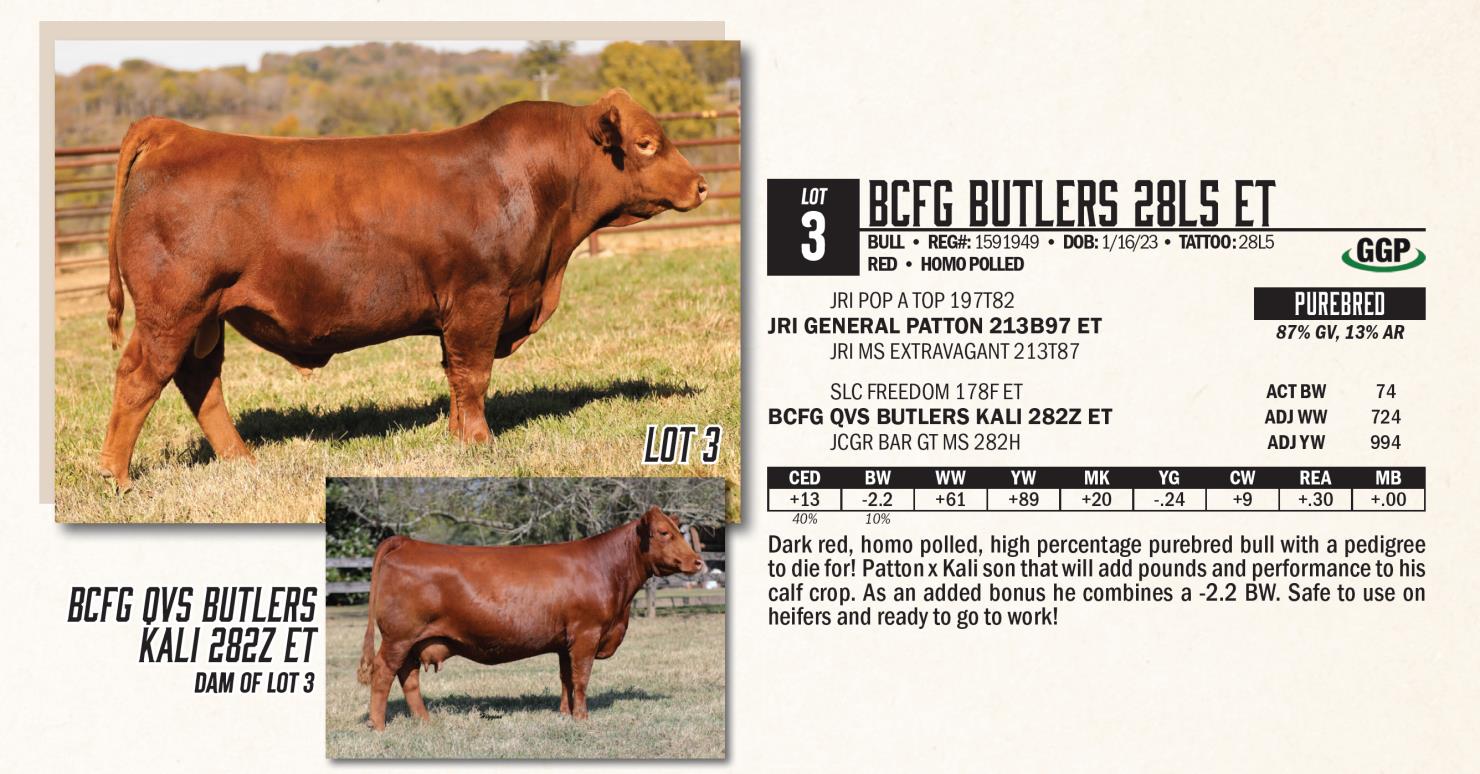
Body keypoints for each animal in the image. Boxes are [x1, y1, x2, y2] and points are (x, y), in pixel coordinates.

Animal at [98, 89, 709, 490]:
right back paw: (118, 478)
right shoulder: (481, 297)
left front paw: (458, 438)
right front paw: (481, 444)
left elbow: (456, 377)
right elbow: (474, 375)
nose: (701, 184)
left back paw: (240, 461)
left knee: (200, 382)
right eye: (647, 143)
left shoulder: (460, 312)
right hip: (173, 308)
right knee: (140, 378)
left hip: (204, 316)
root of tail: (175, 131)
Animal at [356, 505, 703, 730]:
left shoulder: (565, 641)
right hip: (399, 636)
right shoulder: (587, 633)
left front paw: (564, 714)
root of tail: (408, 542)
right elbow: (581, 678)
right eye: (663, 533)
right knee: (383, 673)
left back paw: (425, 721)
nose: (698, 562)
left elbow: (565, 678)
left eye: (679, 531)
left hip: (414, 640)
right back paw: (379, 726)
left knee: (408, 676)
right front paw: (582, 718)